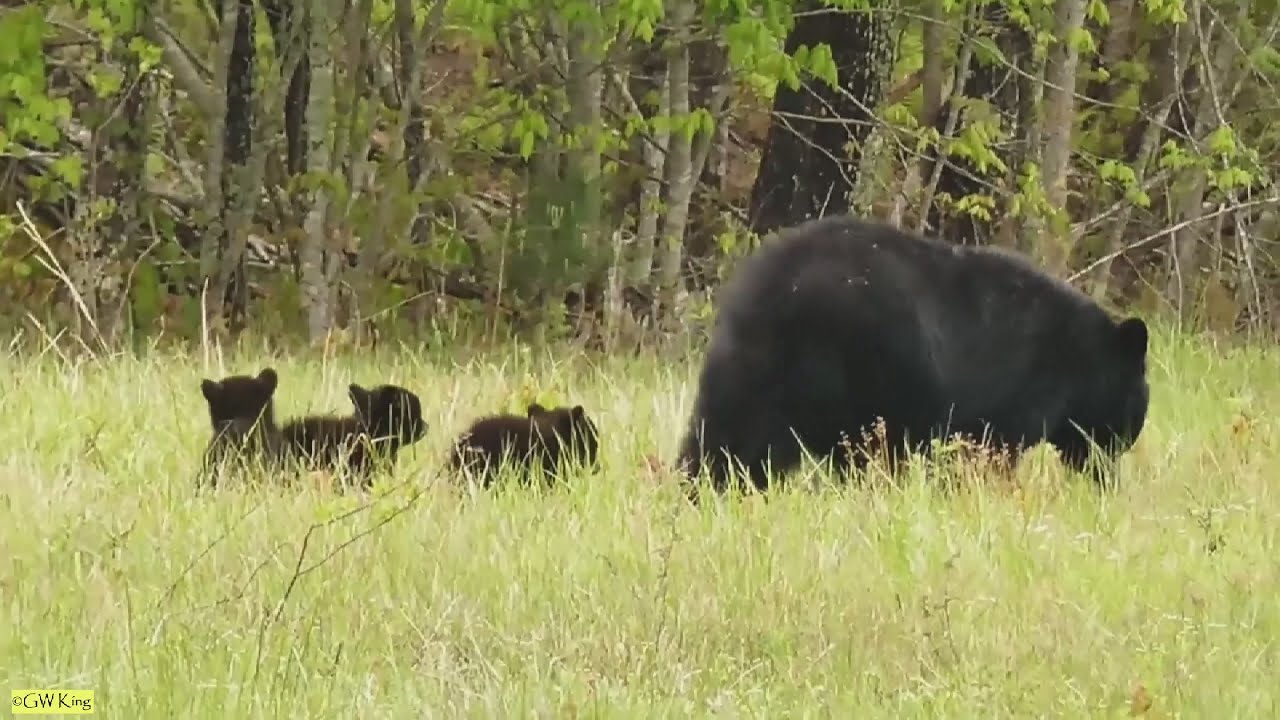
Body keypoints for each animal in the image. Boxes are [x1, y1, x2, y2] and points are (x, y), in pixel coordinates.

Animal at [675, 213, 1151, 496]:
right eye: (1137, 411)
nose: (1108, 479)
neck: (1080, 360)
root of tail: (769, 286)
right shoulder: (1018, 392)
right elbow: (988, 451)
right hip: (848, 370)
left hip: (748, 363)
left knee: (722, 434)